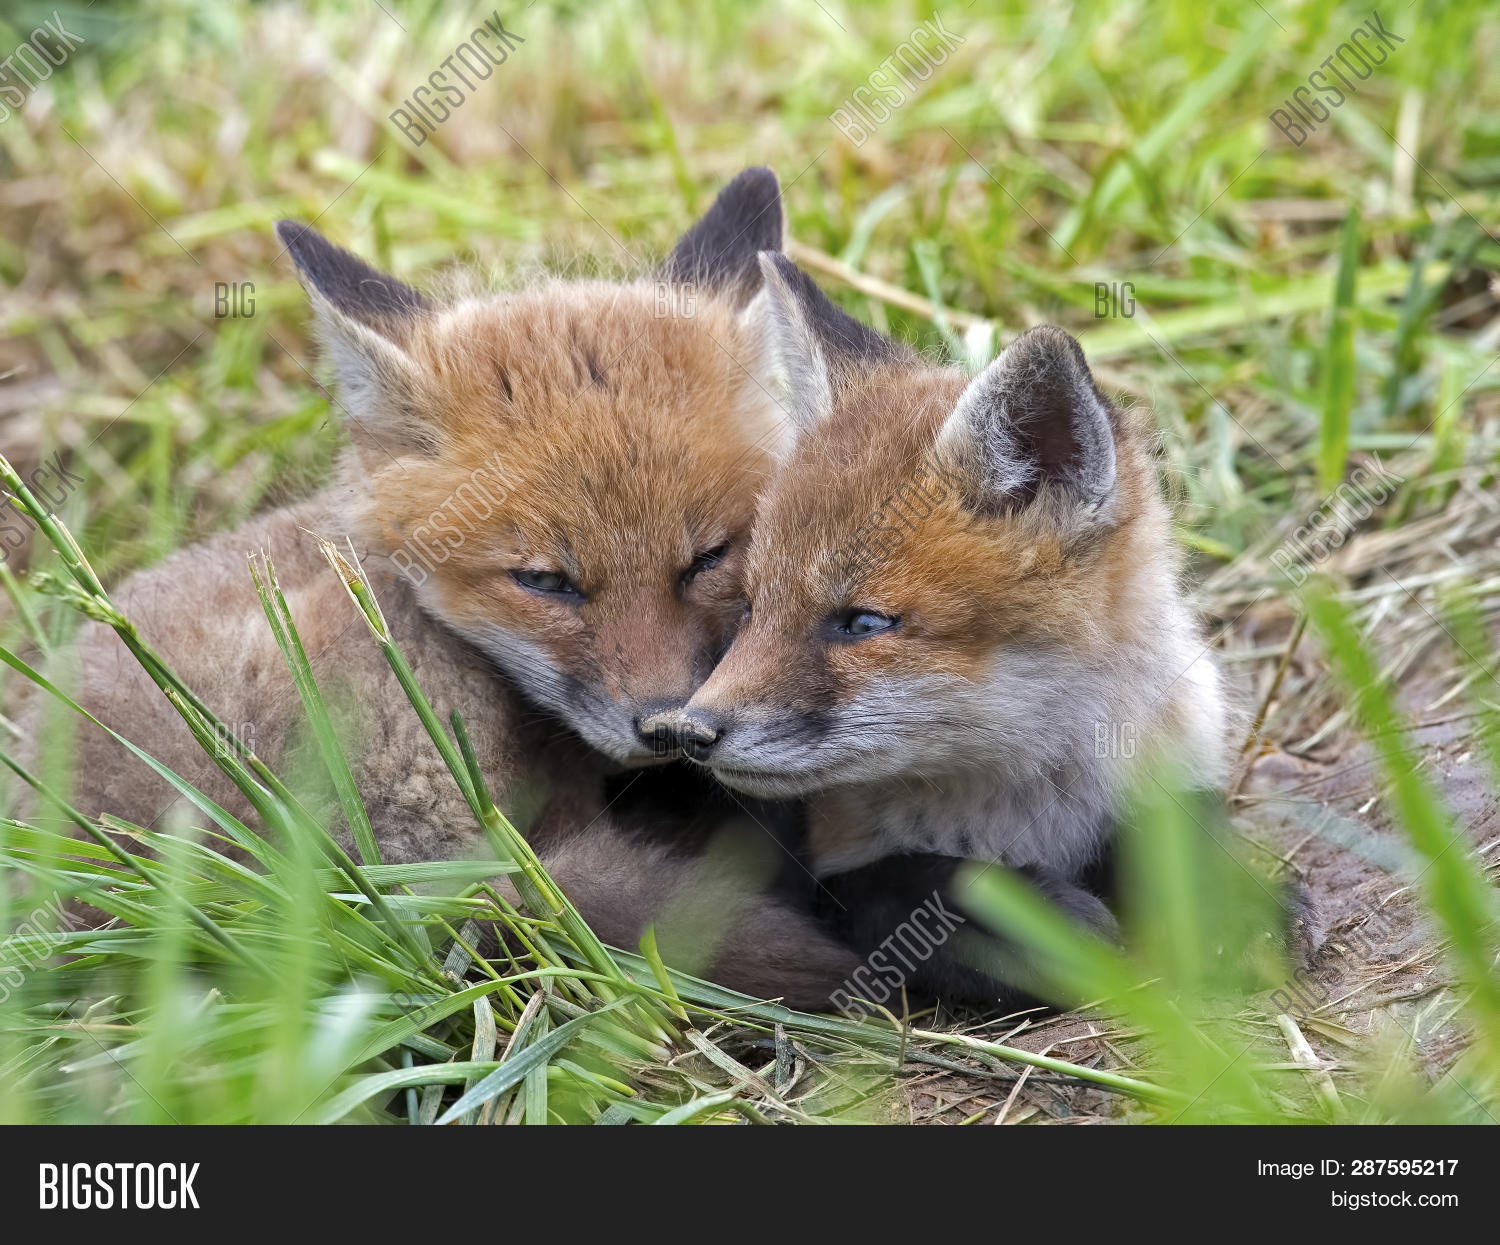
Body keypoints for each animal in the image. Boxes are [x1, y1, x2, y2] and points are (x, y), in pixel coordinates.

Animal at [663, 253, 1237, 1005]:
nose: (690, 731)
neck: (1036, 797)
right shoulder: (837, 867)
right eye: (752, 608)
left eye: (863, 622)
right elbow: (915, 886)